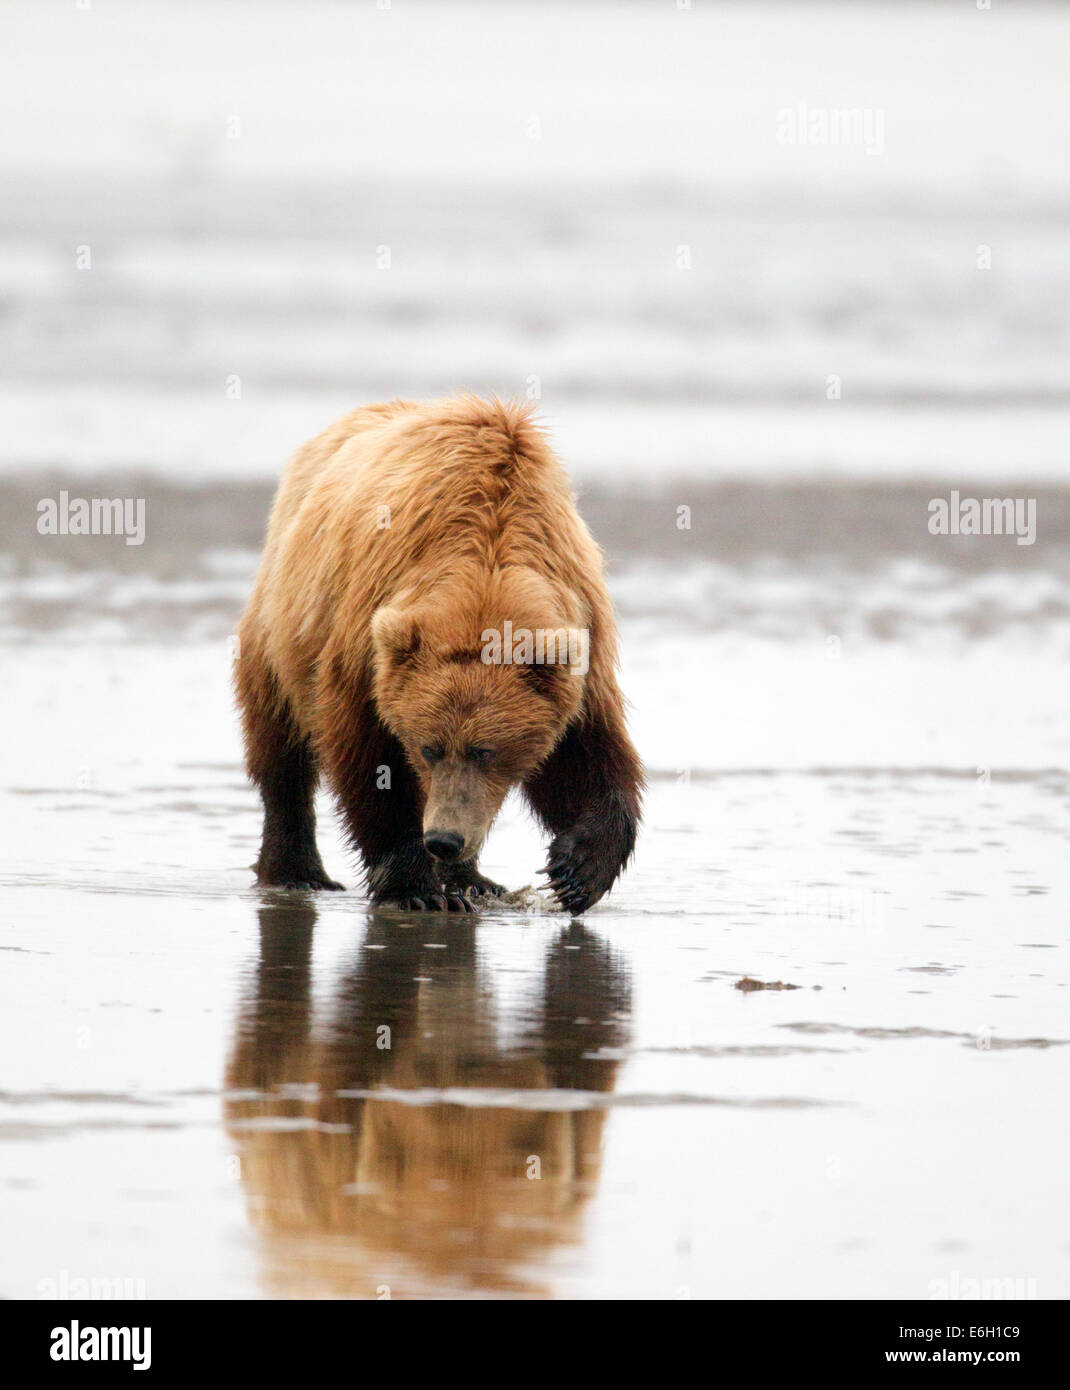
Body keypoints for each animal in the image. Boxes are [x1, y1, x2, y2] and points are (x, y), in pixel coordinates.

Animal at [234, 394, 643, 913]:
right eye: (428, 747)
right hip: (281, 624)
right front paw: (414, 887)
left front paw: (578, 871)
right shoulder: (368, 645)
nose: (444, 840)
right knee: (280, 752)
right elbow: (370, 757)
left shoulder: (580, 633)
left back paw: (473, 880)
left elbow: (586, 754)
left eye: (485, 751)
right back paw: (297, 872)